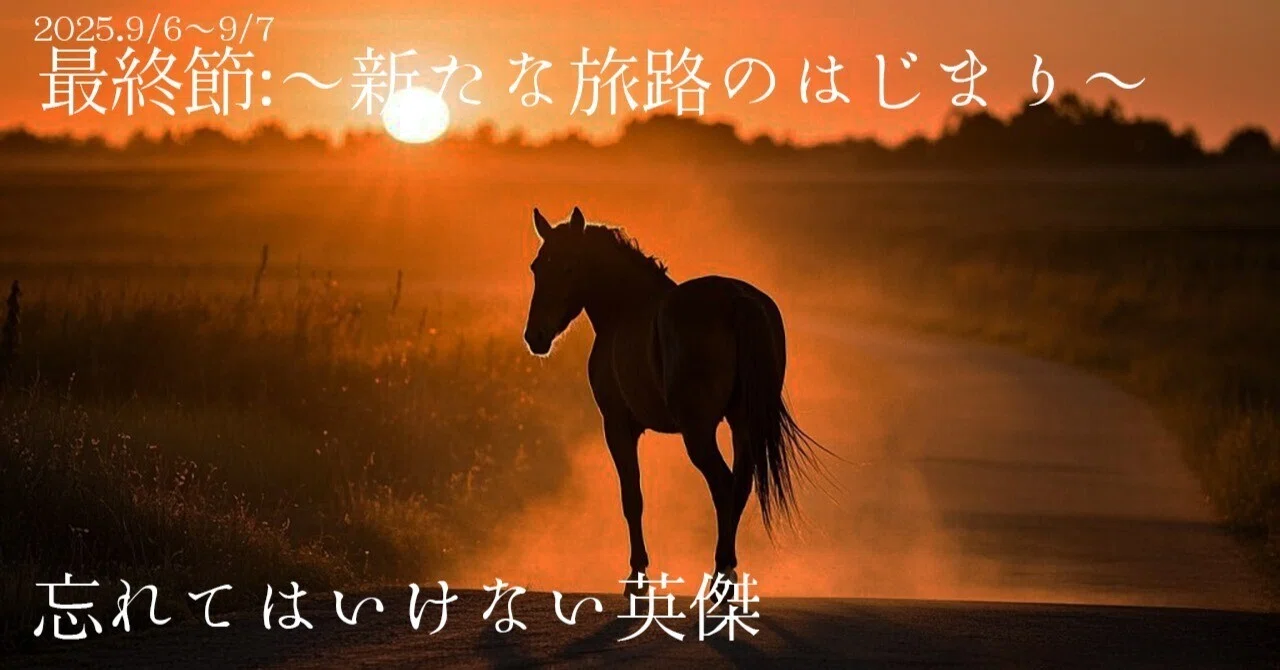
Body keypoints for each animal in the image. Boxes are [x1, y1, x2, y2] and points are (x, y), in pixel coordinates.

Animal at [522, 206, 820, 595]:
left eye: (569, 266)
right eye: (537, 267)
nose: (535, 336)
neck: (625, 307)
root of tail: (736, 300)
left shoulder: (618, 427)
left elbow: (632, 498)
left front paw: (637, 575)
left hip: (699, 432)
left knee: (723, 486)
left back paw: (721, 576)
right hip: (742, 423)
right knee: (739, 486)